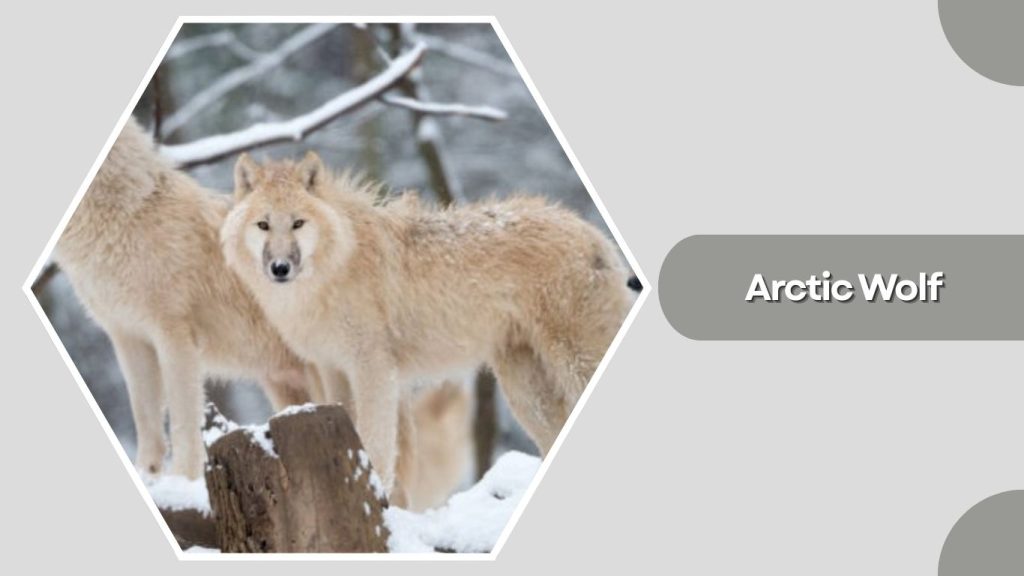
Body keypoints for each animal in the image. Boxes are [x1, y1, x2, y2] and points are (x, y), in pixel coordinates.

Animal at [221, 151, 636, 492]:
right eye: (263, 225)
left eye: (298, 223)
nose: (280, 268)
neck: (334, 268)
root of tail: (591, 232)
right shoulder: (332, 369)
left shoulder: (374, 369)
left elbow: (377, 446)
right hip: (525, 393)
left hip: (572, 366)